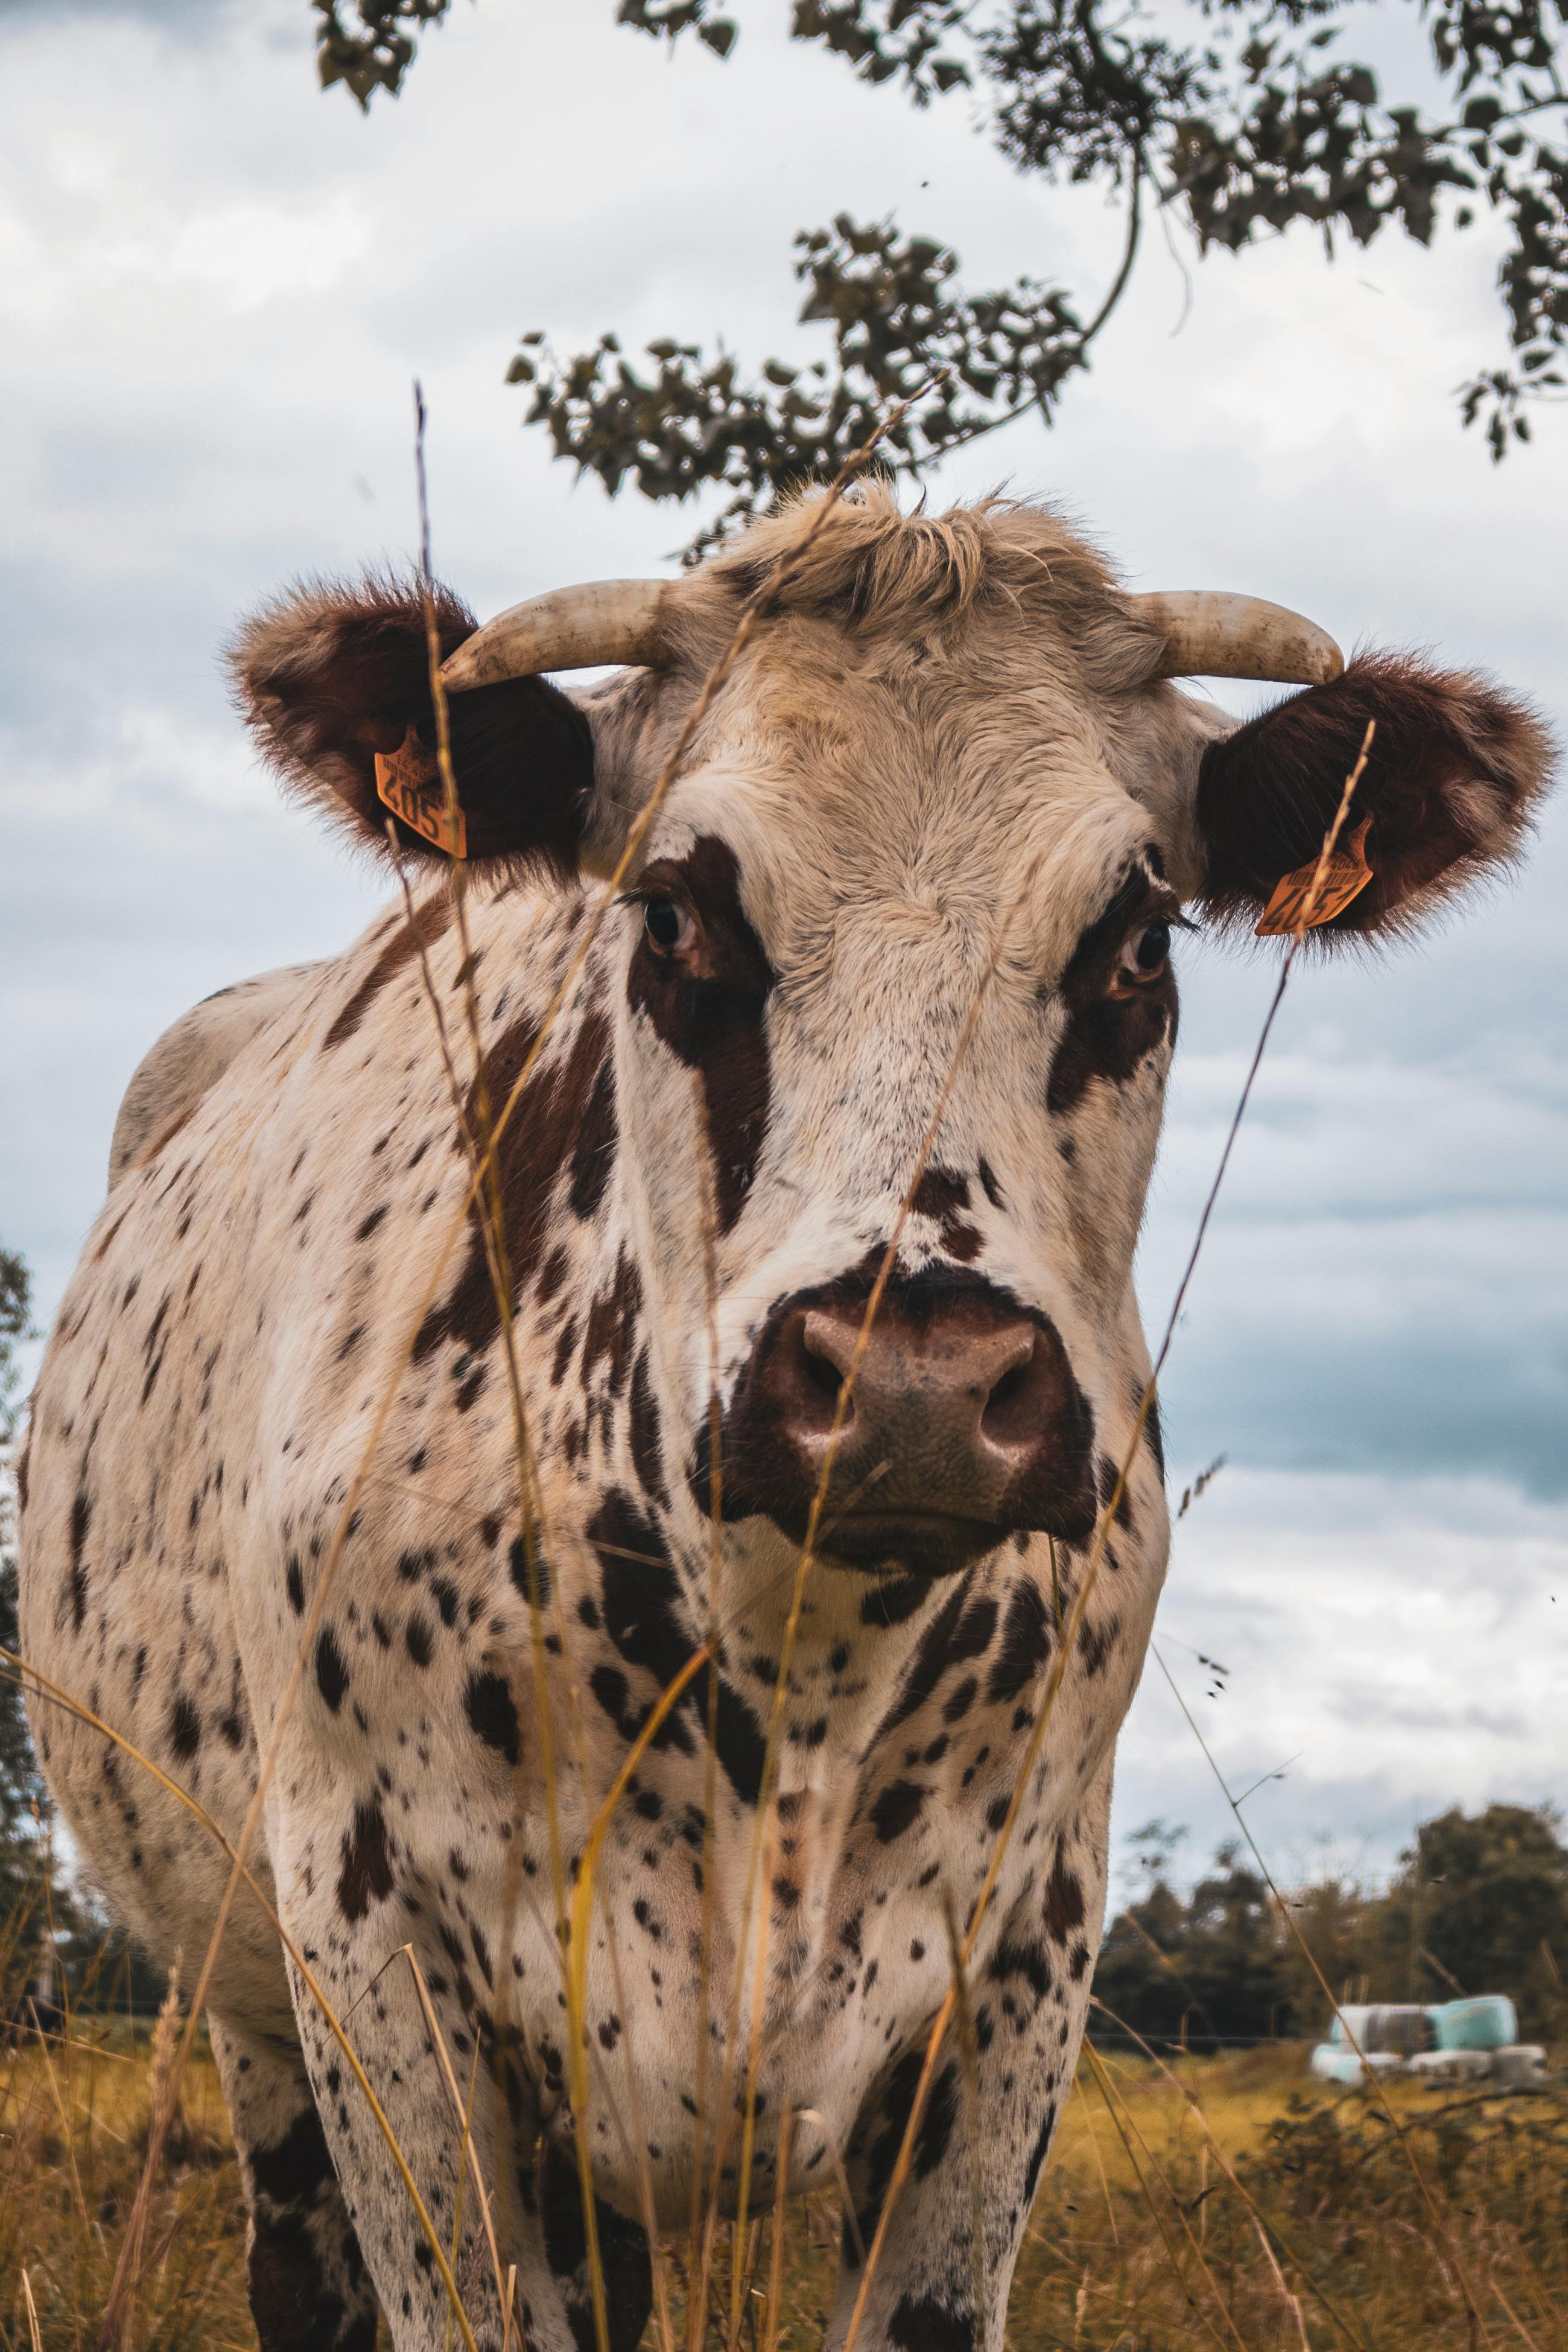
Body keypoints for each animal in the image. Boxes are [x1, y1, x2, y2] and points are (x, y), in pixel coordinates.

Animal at [18, 489, 1551, 2352]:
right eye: (676, 912)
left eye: (1135, 938)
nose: (911, 1388)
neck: (790, 1659)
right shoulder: (373, 1950)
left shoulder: (1020, 1962)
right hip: (254, 2014)